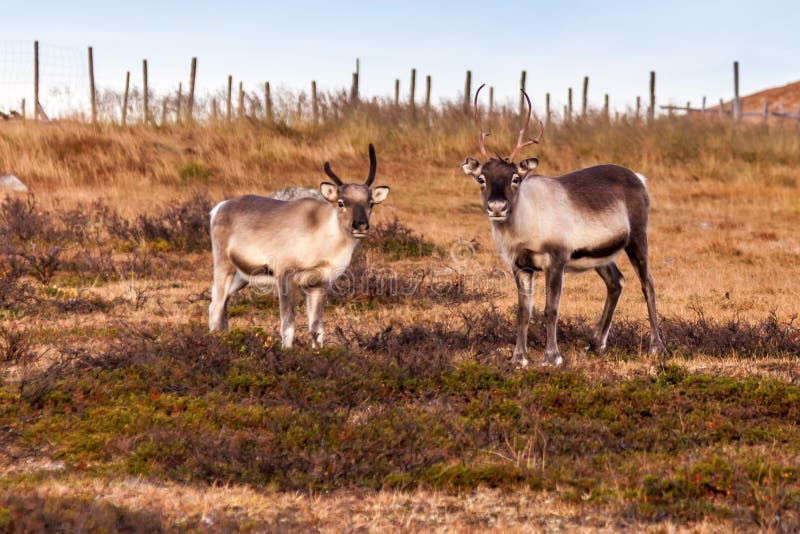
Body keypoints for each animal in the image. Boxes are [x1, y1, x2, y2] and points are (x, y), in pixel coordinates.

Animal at [208, 144, 390, 348]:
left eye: (371, 203)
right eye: (341, 202)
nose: (360, 225)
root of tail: (217, 209)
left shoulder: (319, 284)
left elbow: (317, 329)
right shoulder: (285, 277)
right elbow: (288, 326)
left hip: (242, 276)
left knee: (219, 301)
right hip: (223, 266)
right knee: (216, 306)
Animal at [461, 84, 665, 367]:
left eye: (515, 178)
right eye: (482, 178)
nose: (497, 206)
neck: (524, 228)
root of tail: (639, 178)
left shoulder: (556, 259)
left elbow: (551, 309)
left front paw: (551, 357)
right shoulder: (520, 265)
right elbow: (523, 313)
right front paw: (518, 358)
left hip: (637, 237)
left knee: (648, 284)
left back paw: (656, 346)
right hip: (600, 255)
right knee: (617, 282)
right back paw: (596, 343)